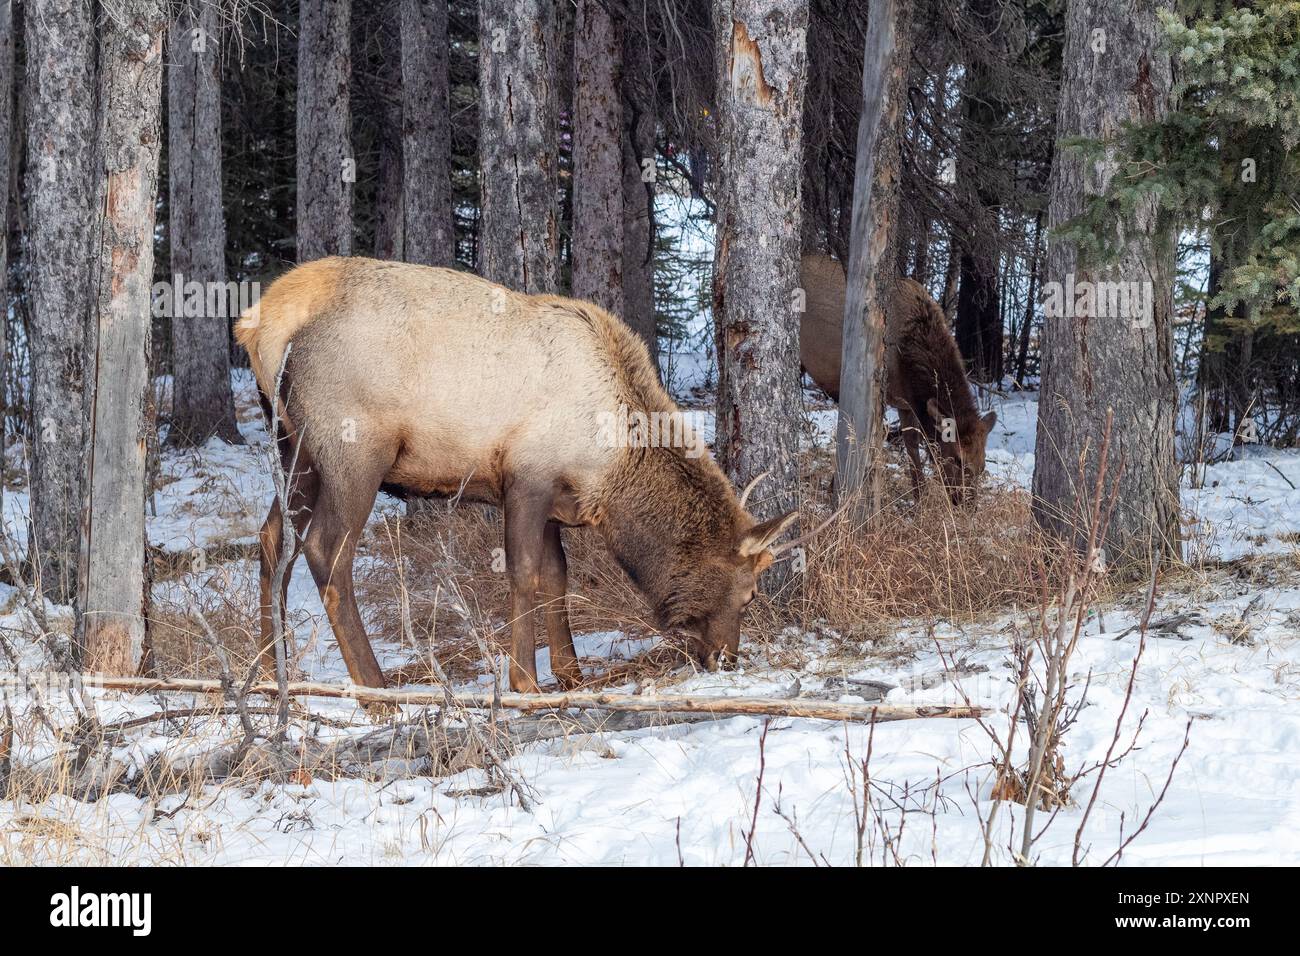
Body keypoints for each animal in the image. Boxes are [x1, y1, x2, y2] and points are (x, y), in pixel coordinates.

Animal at [237, 256, 825, 695]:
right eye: (748, 593)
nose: (727, 658)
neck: (610, 465)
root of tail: (258, 326)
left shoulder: (557, 501)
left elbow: (556, 577)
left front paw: (571, 671)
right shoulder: (525, 478)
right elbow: (523, 574)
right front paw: (525, 680)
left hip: (292, 448)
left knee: (271, 540)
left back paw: (268, 670)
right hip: (352, 450)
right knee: (326, 549)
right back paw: (372, 684)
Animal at [798, 253, 997, 504]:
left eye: (982, 465)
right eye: (957, 458)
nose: (967, 504)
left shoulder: (906, 402)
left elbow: (912, 445)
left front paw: (919, 498)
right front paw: (836, 489)